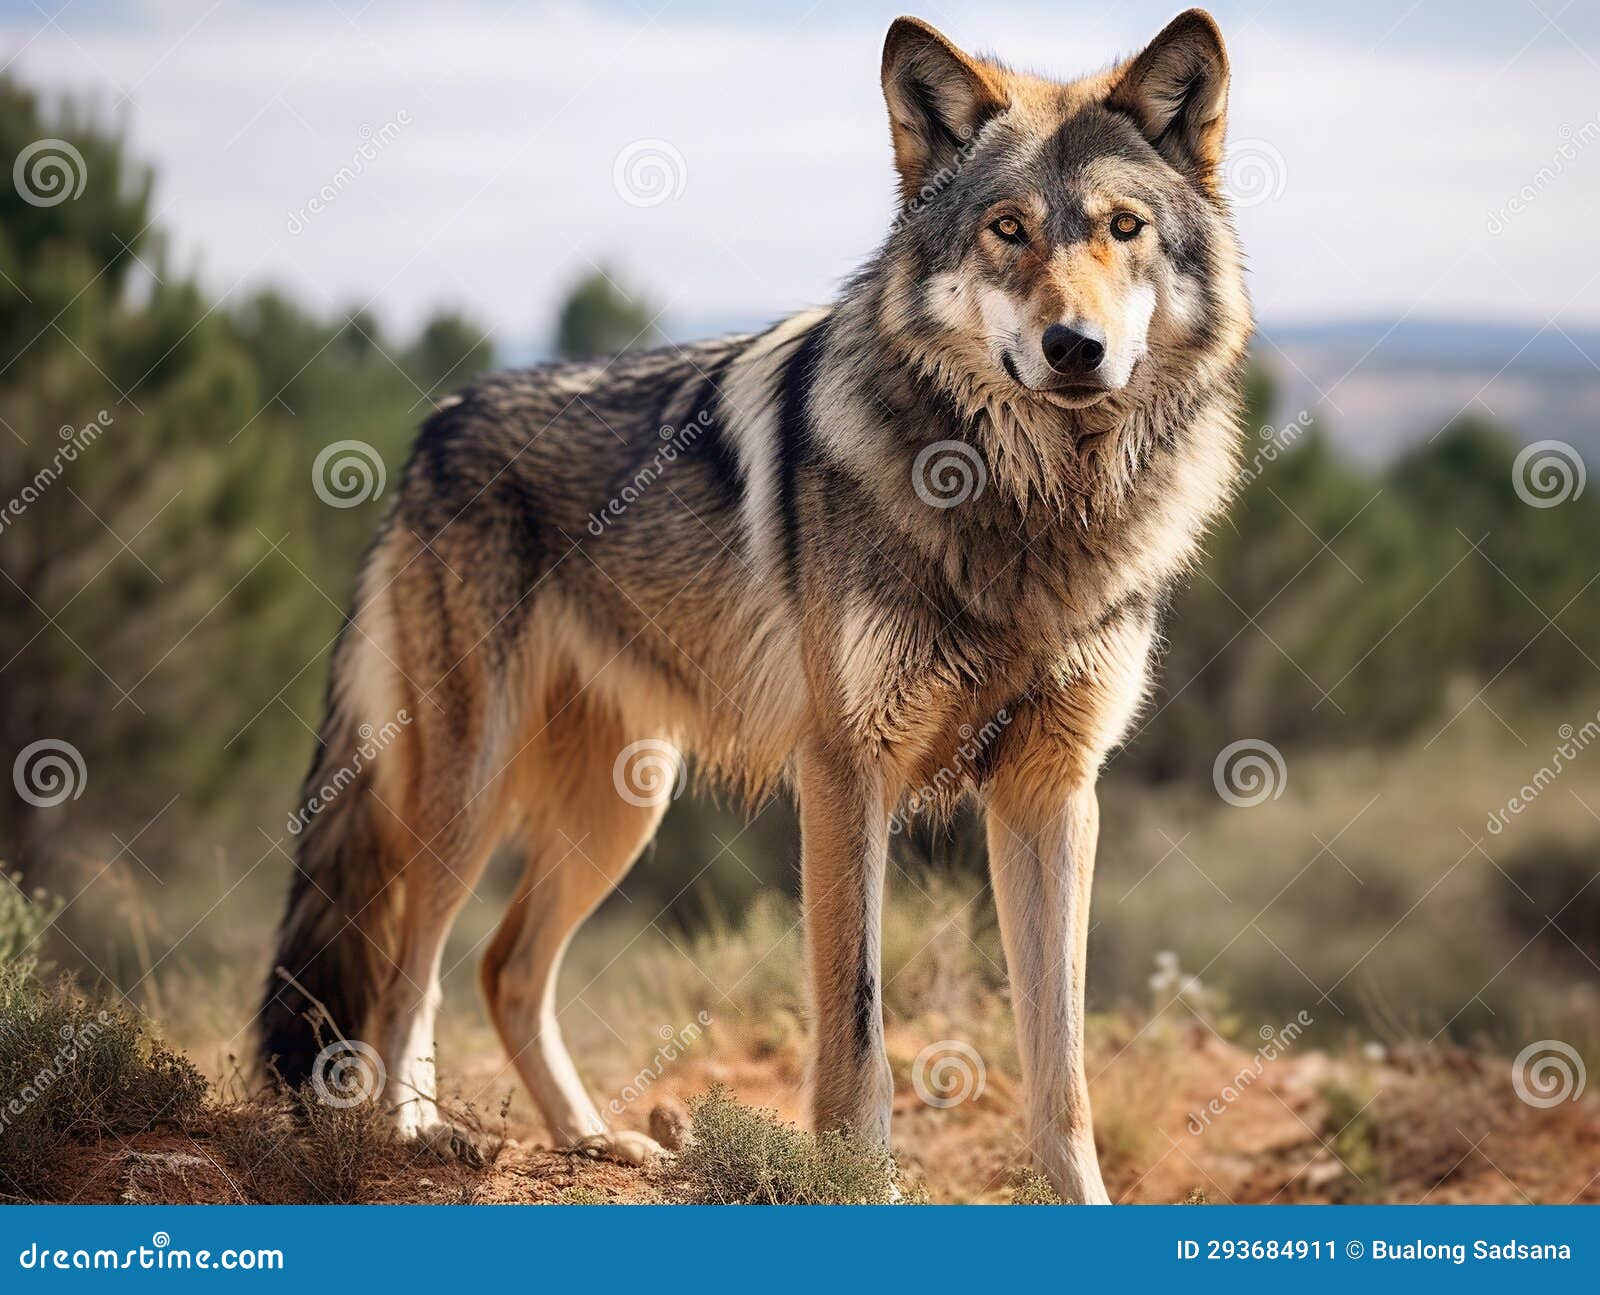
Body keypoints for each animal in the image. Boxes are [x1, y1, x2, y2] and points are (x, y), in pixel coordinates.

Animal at [259, 9, 1250, 1203]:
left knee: (505, 965)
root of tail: (433, 427)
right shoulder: (843, 771)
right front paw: (858, 1185)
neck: (1031, 511)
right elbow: (856, 1035)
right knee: (414, 964)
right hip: (474, 785)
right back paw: (412, 1134)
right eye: (1008, 229)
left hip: (624, 801)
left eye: (1123, 228)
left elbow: (1060, 1067)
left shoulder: (1052, 792)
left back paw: (599, 1140)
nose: (1075, 349)